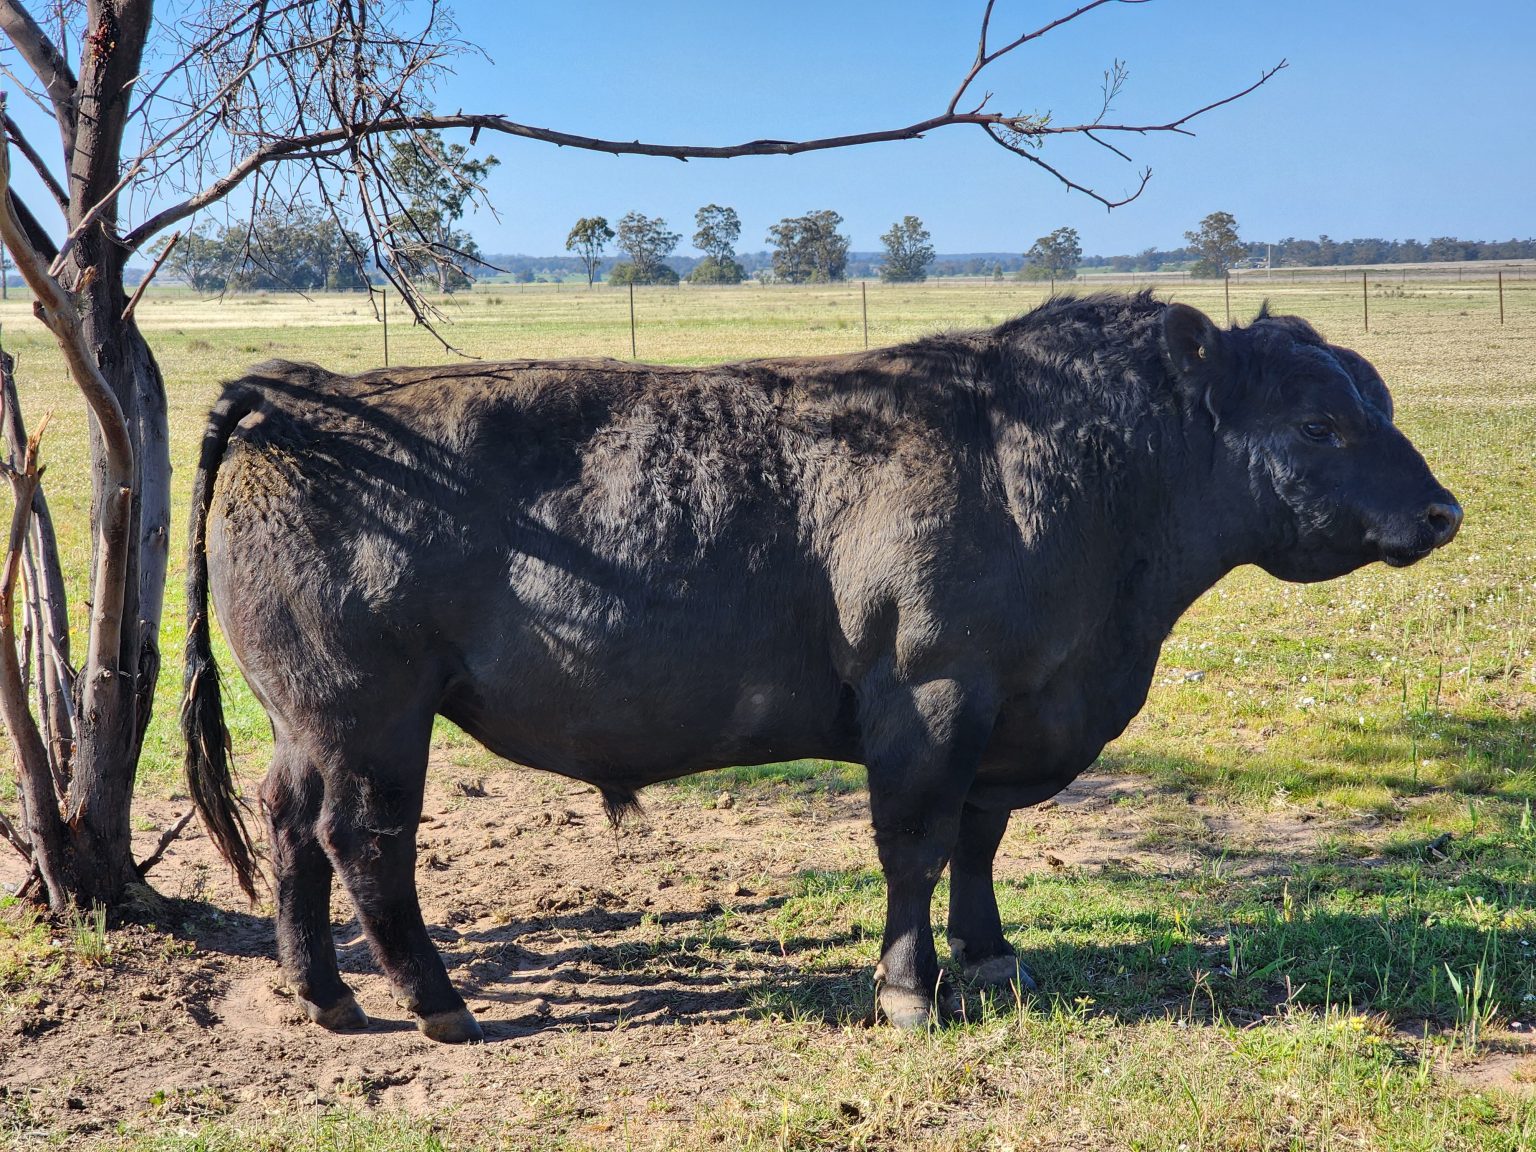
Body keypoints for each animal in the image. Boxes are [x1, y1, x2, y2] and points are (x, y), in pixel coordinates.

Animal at [182, 292, 1461, 1043]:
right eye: (1319, 426)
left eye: (1384, 404)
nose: (1443, 510)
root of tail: (300, 393)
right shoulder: (932, 696)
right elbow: (917, 845)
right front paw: (908, 987)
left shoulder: (1009, 709)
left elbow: (980, 841)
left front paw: (991, 957)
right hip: (372, 714)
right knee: (363, 840)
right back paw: (435, 1001)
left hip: (306, 718)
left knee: (288, 826)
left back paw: (325, 993)